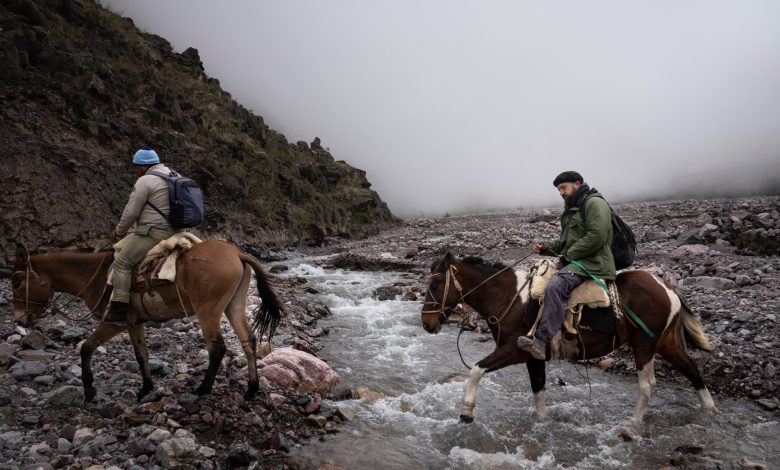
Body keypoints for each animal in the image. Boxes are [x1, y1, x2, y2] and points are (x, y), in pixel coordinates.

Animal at [9, 241, 284, 402]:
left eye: (16, 282)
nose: (20, 318)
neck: (95, 277)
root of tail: (237, 253)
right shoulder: (134, 323)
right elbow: (141, 354)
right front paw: (146, 388)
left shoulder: (115, 322)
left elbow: (86, 348)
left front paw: (89, 390)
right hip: (233, 305)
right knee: (248, 340)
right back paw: (251, 389)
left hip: (208, 311)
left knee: (217, 348)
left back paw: (203, 389)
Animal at [424, 253, 716, 426]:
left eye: (434, 285)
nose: (427, 324)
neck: (510, 297)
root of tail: (668, 288)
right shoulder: (534, 357)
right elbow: (539, 393)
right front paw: (543, 423)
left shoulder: (514, 351)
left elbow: (476, 369)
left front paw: (466, 412)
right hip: (665, 343)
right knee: (693, 371)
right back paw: (710, 411)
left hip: (644, 344)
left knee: (647, 385)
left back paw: (632, 425)